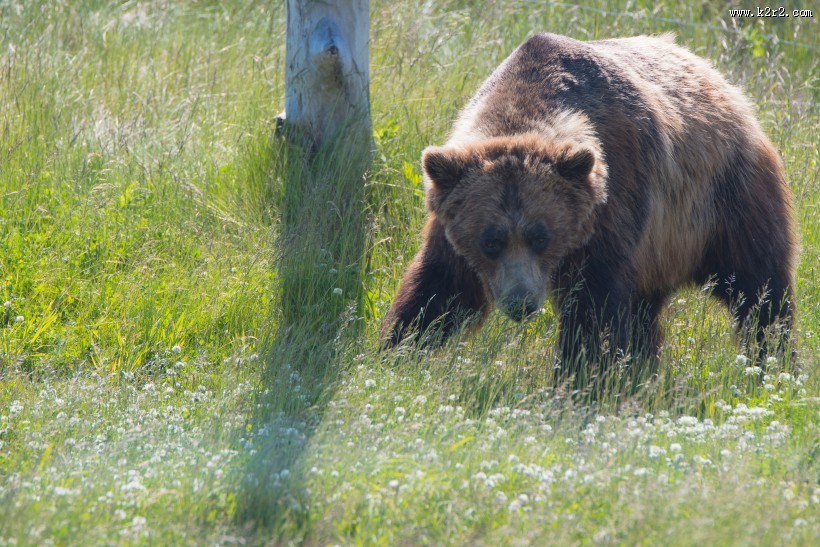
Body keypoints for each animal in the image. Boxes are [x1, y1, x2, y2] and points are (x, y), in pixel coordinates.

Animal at [382, 33, 797, 372]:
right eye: (491, 241)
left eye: (540, 237)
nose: (521, 303)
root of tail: (719, 80)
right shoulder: (453, 223)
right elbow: (439, 290)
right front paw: (398, 351)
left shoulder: (613, 206)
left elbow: (593, 310)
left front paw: (580, 376)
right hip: (659, 250)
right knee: (645, 311)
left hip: (721, 202)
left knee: (758, 284)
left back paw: (774, 362)